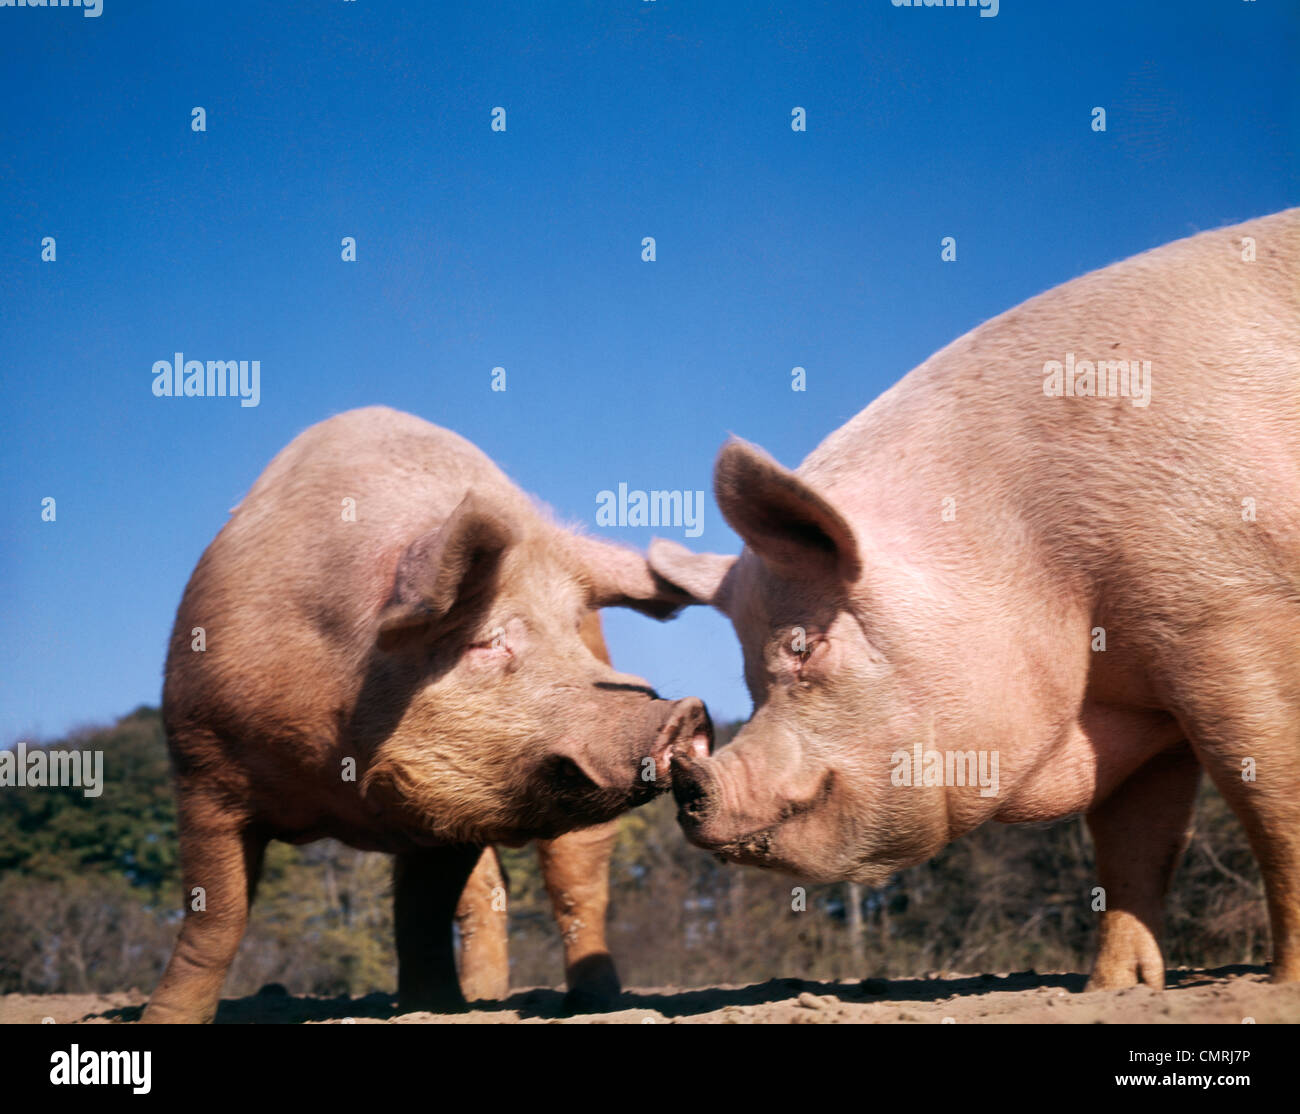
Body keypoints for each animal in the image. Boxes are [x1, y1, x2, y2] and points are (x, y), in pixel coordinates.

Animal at [144, 406, 709, 1023]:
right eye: (487, 641)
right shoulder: (201, 762)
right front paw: (164, 1018)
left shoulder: (452, 810)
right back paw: (488, 997)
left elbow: (422, 912)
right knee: (490, 892)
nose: (683, 713)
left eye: (569, 629)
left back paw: (590, 1001)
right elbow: (217, 918)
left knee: (575, 885)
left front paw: (433, 1008)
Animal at [650, 209, 1300, 990]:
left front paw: (1283, 984)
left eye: (804, 648)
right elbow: (1132, 848)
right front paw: (1113, 988)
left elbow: (1271, 800)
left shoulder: (1229, 617)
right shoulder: (1144, 706)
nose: (687, 788)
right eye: (747, 677)